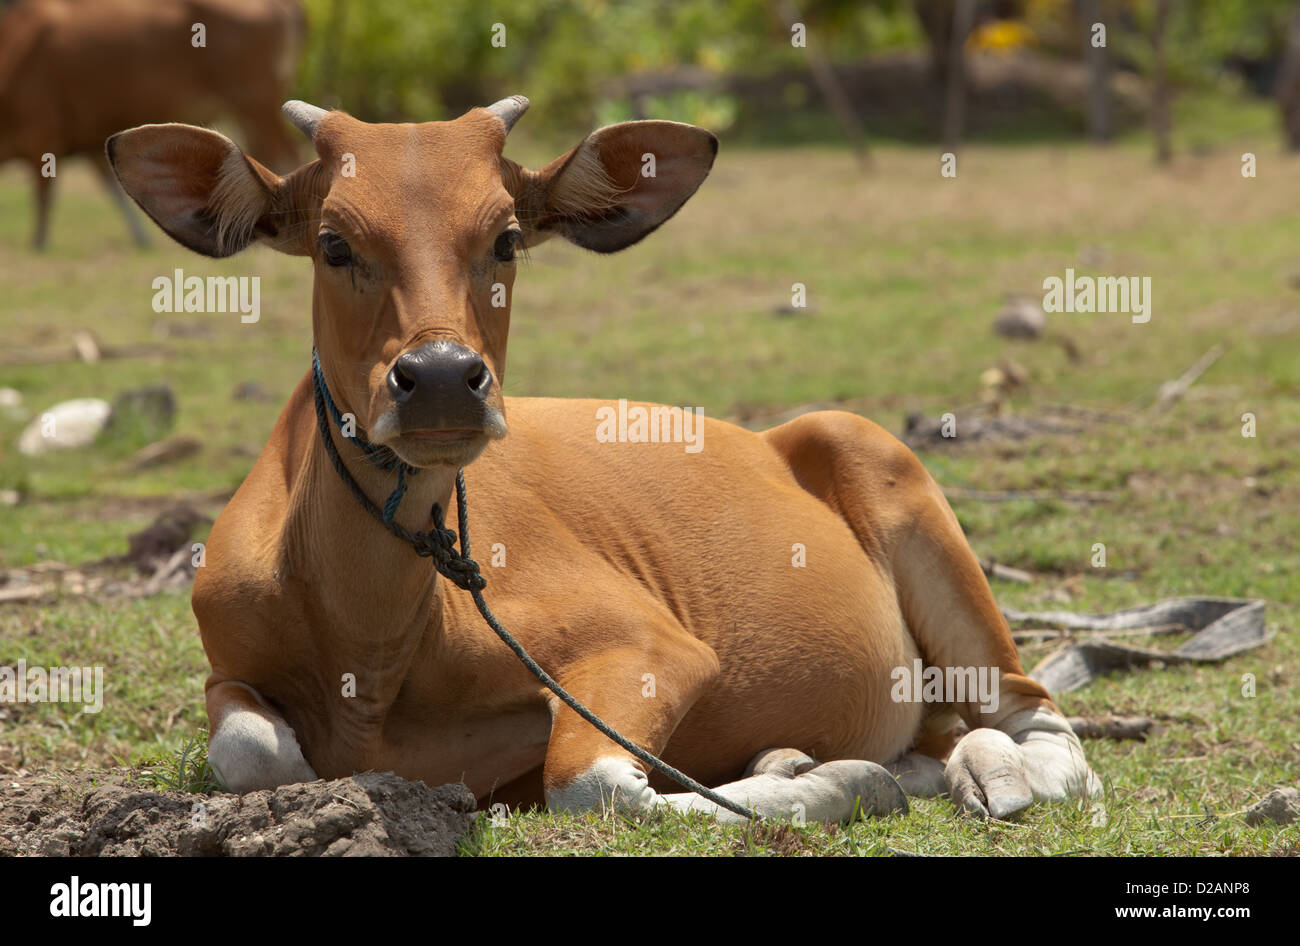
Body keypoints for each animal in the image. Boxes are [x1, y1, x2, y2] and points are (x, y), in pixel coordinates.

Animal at [0, 0, 303, 249]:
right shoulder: (91, 142)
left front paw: (38, 242)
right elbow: (114, 189)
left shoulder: (44, 132)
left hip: (257, 103)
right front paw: (142, 238)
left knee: (285, 154)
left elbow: (43, 194)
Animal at [105, 97, 1102, 823]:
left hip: (880, 457)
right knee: (943, 735)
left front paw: (824, 780)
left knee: (1041, 721)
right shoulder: (227, 666)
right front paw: (809, 768)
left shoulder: (647, 646)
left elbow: (594, 785)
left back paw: (996, 774)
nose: (440, 380)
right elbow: (253, 750)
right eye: (332, 241)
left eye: (506, 238)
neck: (373, 654)